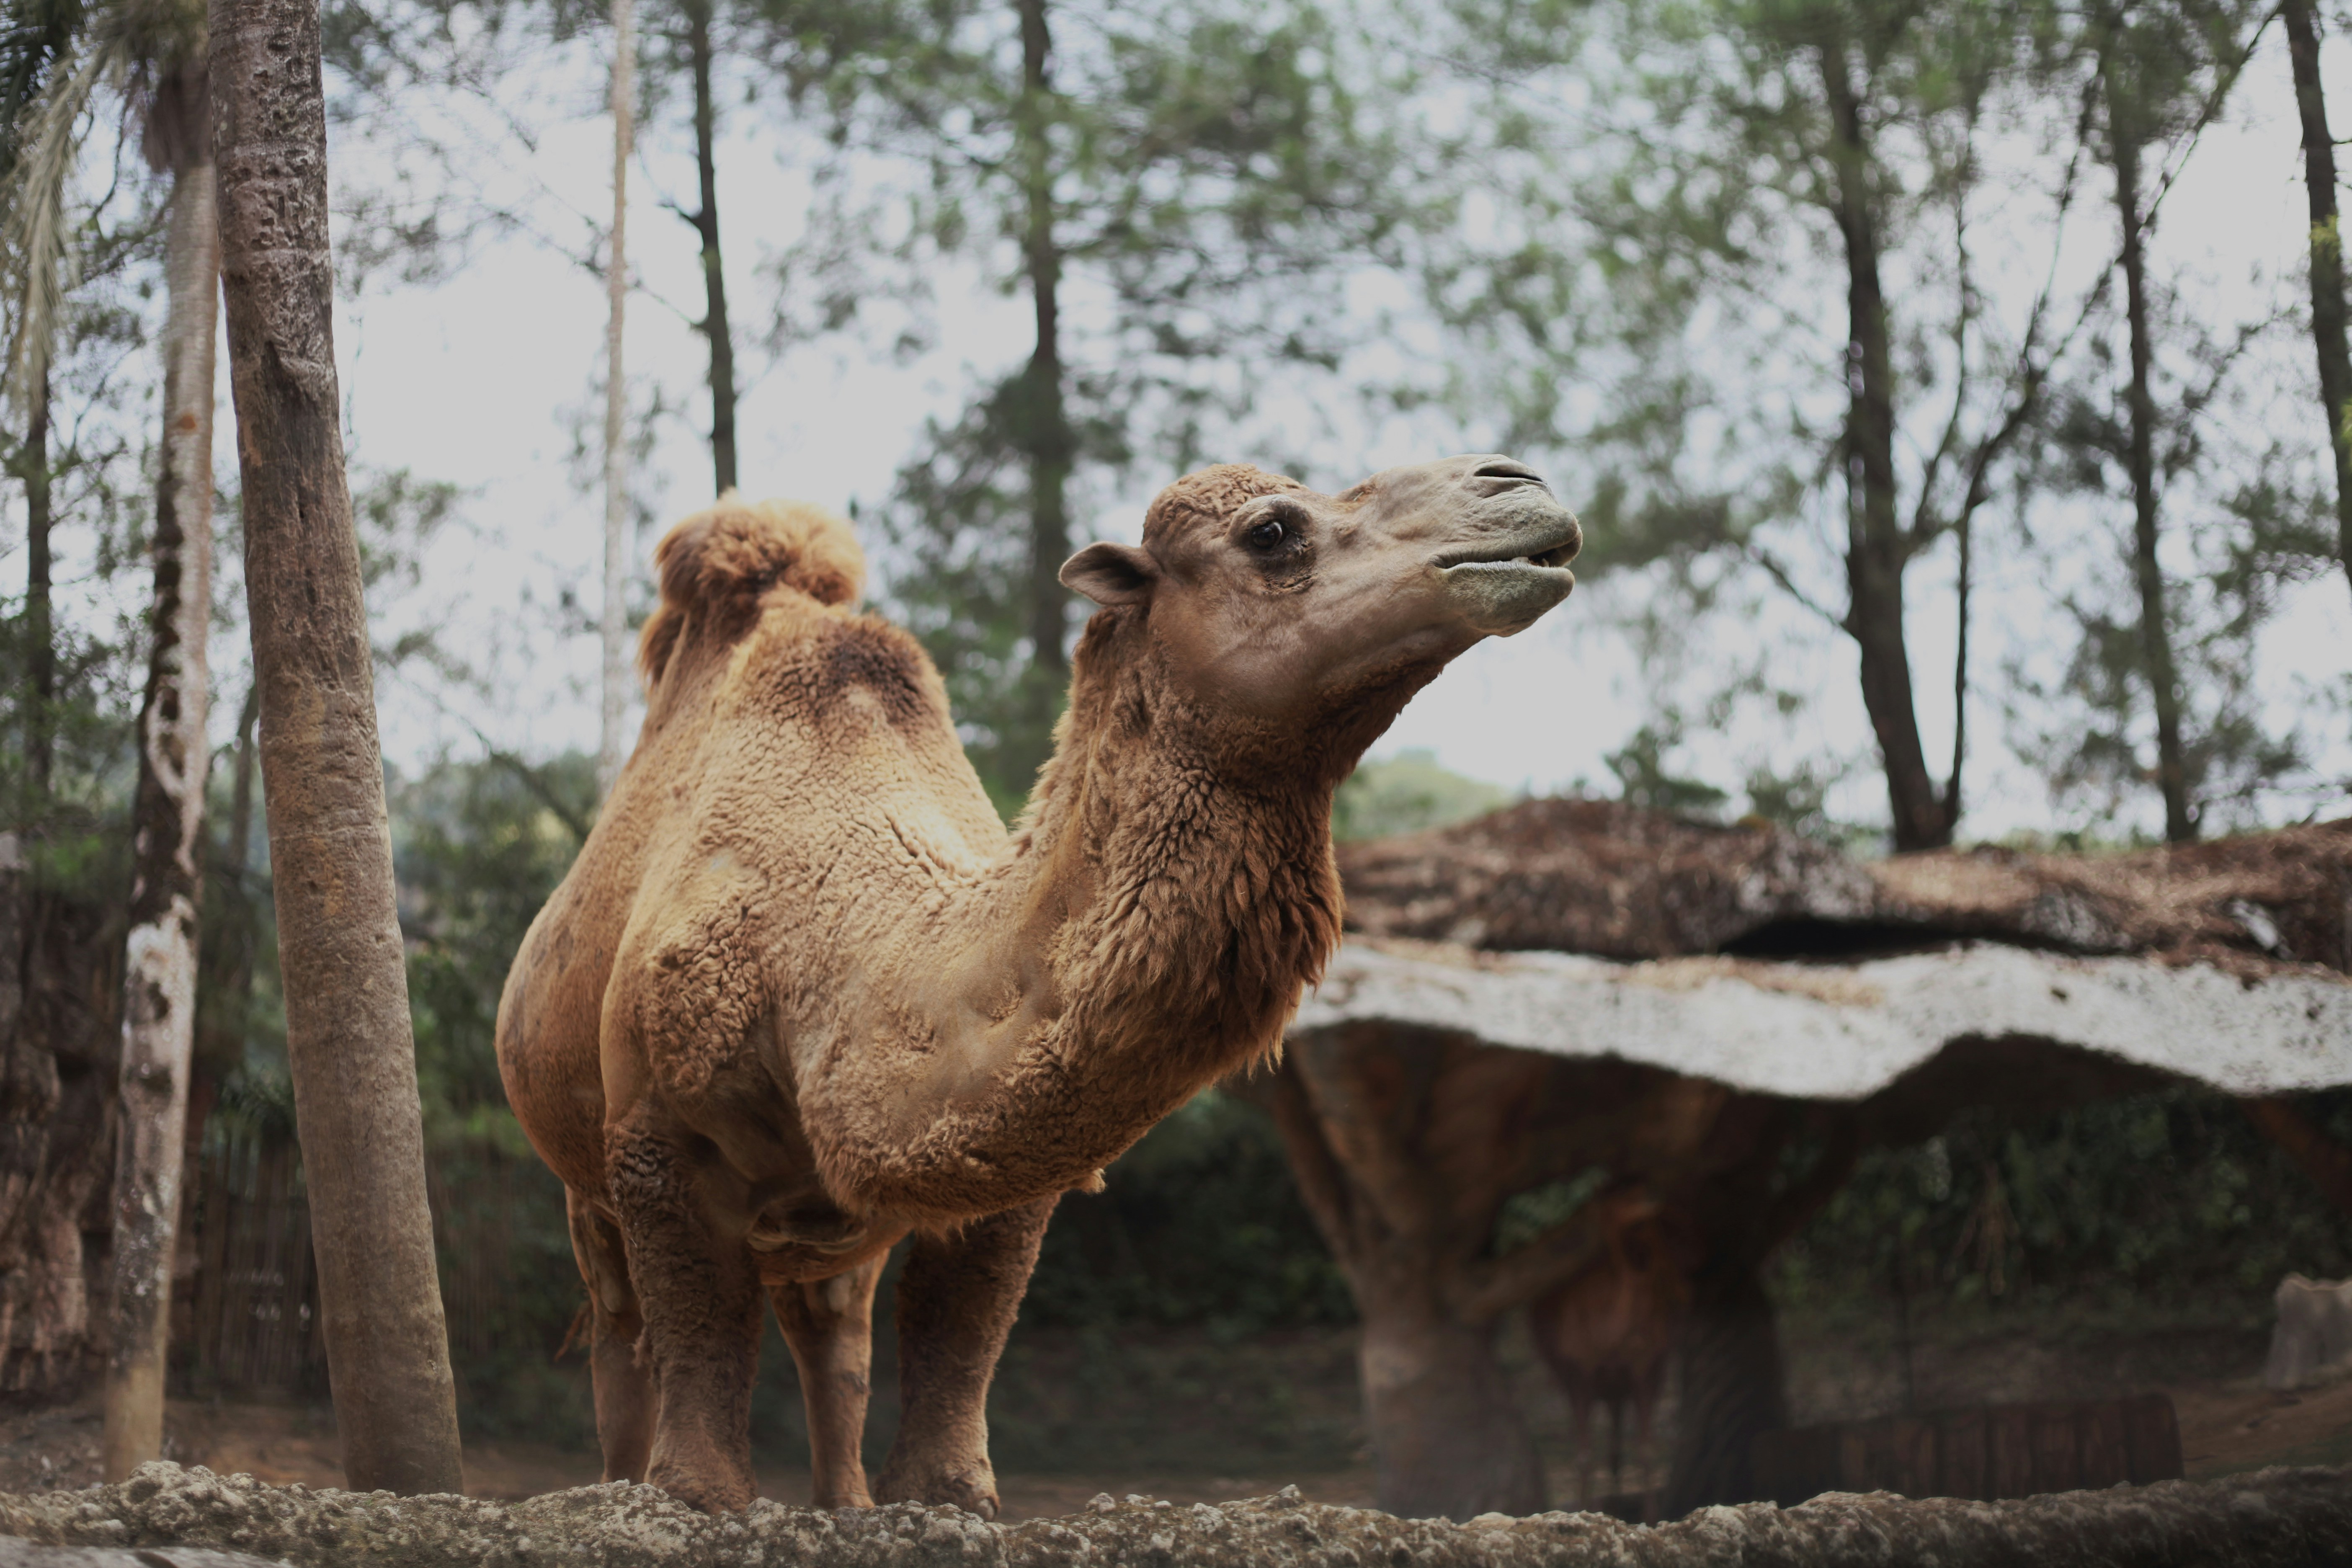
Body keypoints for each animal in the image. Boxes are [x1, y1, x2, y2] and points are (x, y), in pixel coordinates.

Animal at [495, 456, 1581, 1515]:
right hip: (581, 1178)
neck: (833, 934)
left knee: (833, 1335)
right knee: (621, 1330)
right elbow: (699, 1330)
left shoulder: (996, 1170)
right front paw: (689, 1494)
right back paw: (617, 1480)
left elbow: (960, 1333)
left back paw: (841, 1501)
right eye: (1272, 532)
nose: (1519, 488)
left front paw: (941, 1496)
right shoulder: (656, 1135)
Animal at [1529, 1189, 1690, 1518]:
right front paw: (1581, 1508)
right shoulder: (1580, 1373)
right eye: (1621, 1199)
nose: (1653, 1201)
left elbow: (1645, 1450)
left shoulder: (1644, 1369)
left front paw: (1652, 1517)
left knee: (1617, 1447)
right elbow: (1583, 1456)